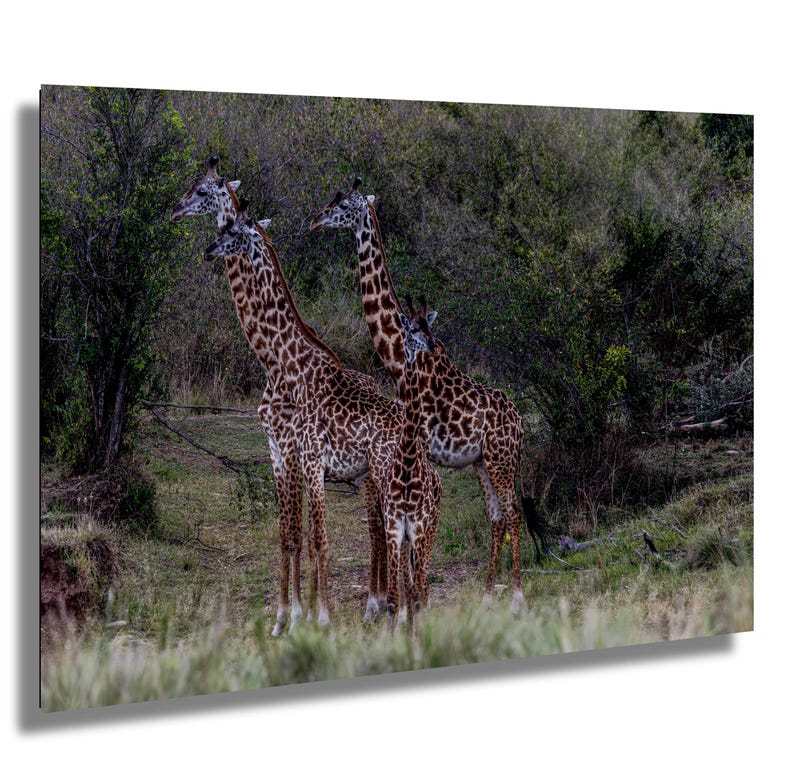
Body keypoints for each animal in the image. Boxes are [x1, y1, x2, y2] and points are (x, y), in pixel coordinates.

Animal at [171, 159, 386, 634]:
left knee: (382, 526)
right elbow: (288, 535)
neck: (279, 366)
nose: (174, 210)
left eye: (201, 191)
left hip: (370, 473)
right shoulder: (276, 451)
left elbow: (312, 537)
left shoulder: (300, 453)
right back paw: (379, 604)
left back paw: (379, 605)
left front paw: (314, 618)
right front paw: (284, 619)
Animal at [311, 178, 547, 612]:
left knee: (513, 513)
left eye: (343, 204)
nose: (316, 221)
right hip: (482, 461)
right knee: (497, 516)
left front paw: (396, 602)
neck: (396, 356)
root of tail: (521, 421)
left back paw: (517, 597)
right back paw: (486, 596)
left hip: (501, 459)